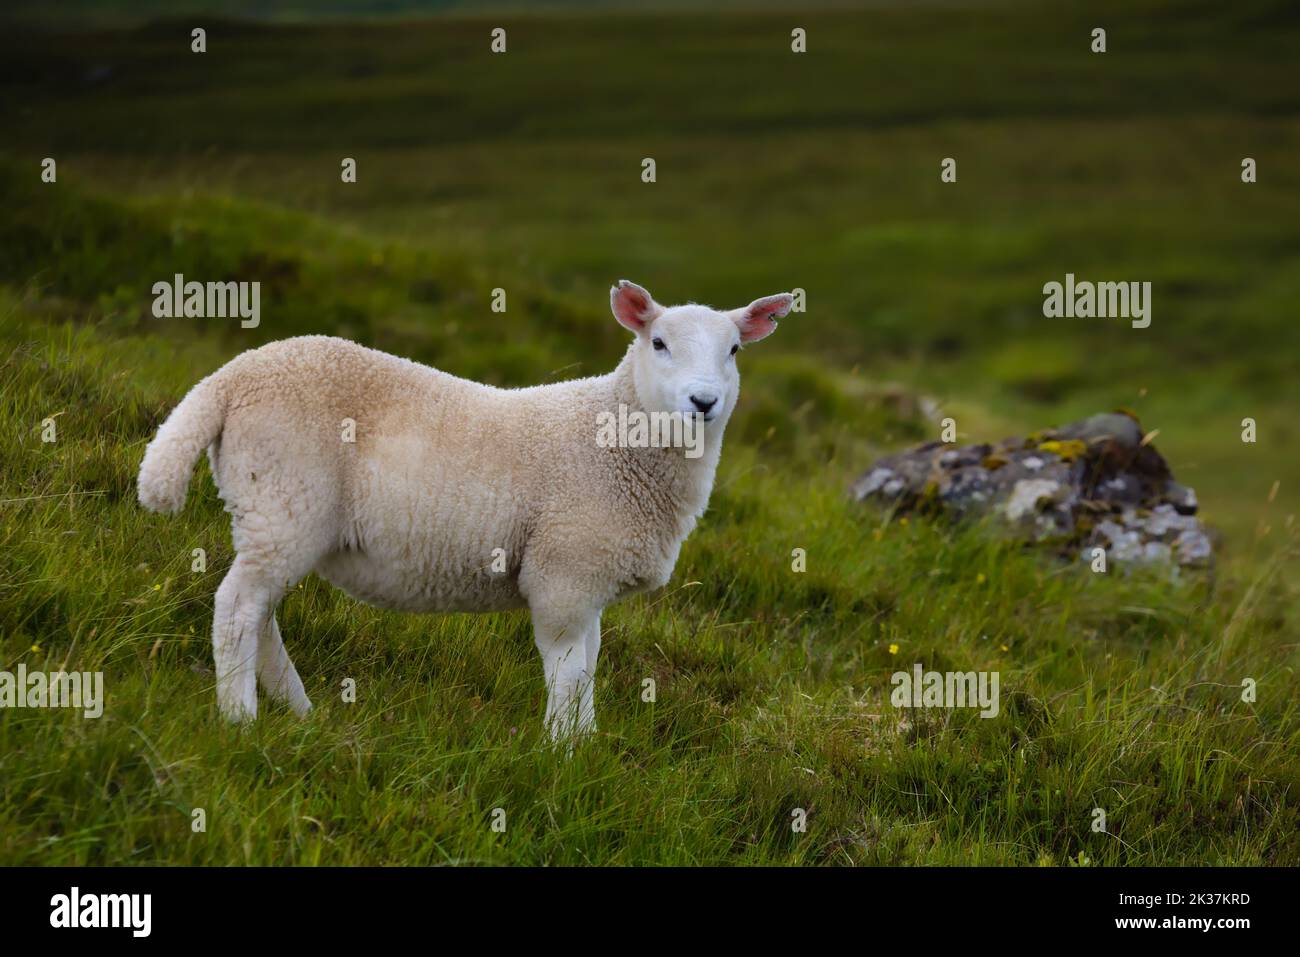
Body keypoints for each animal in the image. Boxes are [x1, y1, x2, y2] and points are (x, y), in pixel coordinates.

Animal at [137, 280, 792, 739]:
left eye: (734, 350)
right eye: (658, 344)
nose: (703, 402)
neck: (616, 441)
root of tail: (231, 378)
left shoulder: (590, 580)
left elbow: (590, 667)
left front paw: (585, 744)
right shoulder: (563, 573)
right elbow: (570, 674)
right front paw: (562, 755)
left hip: (271, 514)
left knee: (262, 613)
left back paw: (298, 711)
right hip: (284, 499)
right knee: (238, 609)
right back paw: (240, 720)